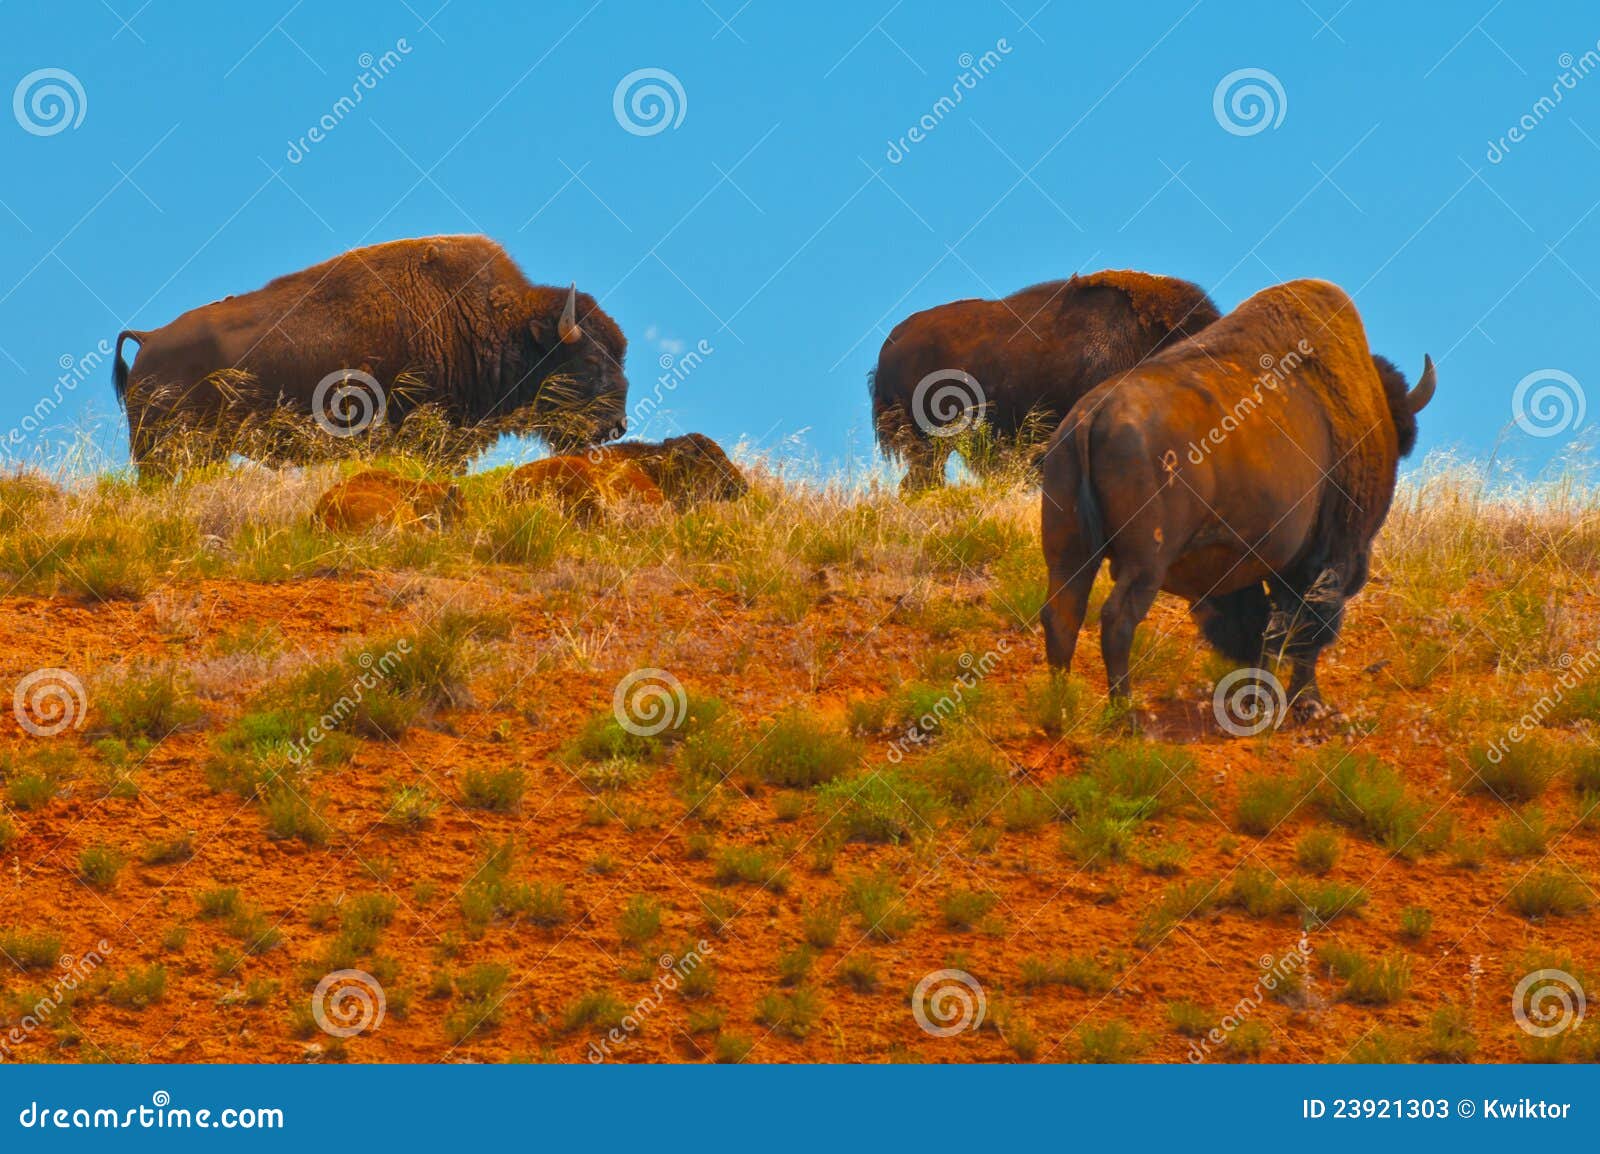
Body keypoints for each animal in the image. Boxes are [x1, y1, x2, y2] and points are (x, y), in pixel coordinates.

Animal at [1039, 278, 1436, 721]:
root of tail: (1091, 414)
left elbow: (1261, 629)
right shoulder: (1324, 557)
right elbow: (1306, 632)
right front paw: (1308, 702)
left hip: (1070, 551)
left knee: (1062, 615)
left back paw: (1060, 709)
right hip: (1145, 562)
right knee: (1117, 619)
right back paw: (1127, 717)